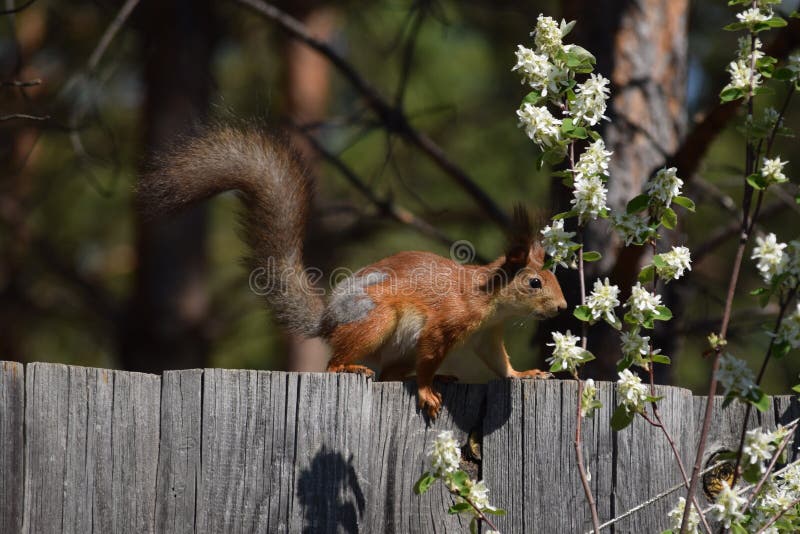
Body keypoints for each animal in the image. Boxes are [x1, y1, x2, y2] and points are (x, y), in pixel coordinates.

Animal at [138, 125, 568, 418]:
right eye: (534, 282)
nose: (563, 308)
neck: (488, 297)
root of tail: (327, 321)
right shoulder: (446, 322)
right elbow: (431, 354)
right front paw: (427, 390)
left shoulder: (485, 334)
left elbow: (497, 362)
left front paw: (523, 374)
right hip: (377, 318)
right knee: (335, 366)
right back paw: (355, 367)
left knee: (390, 375)